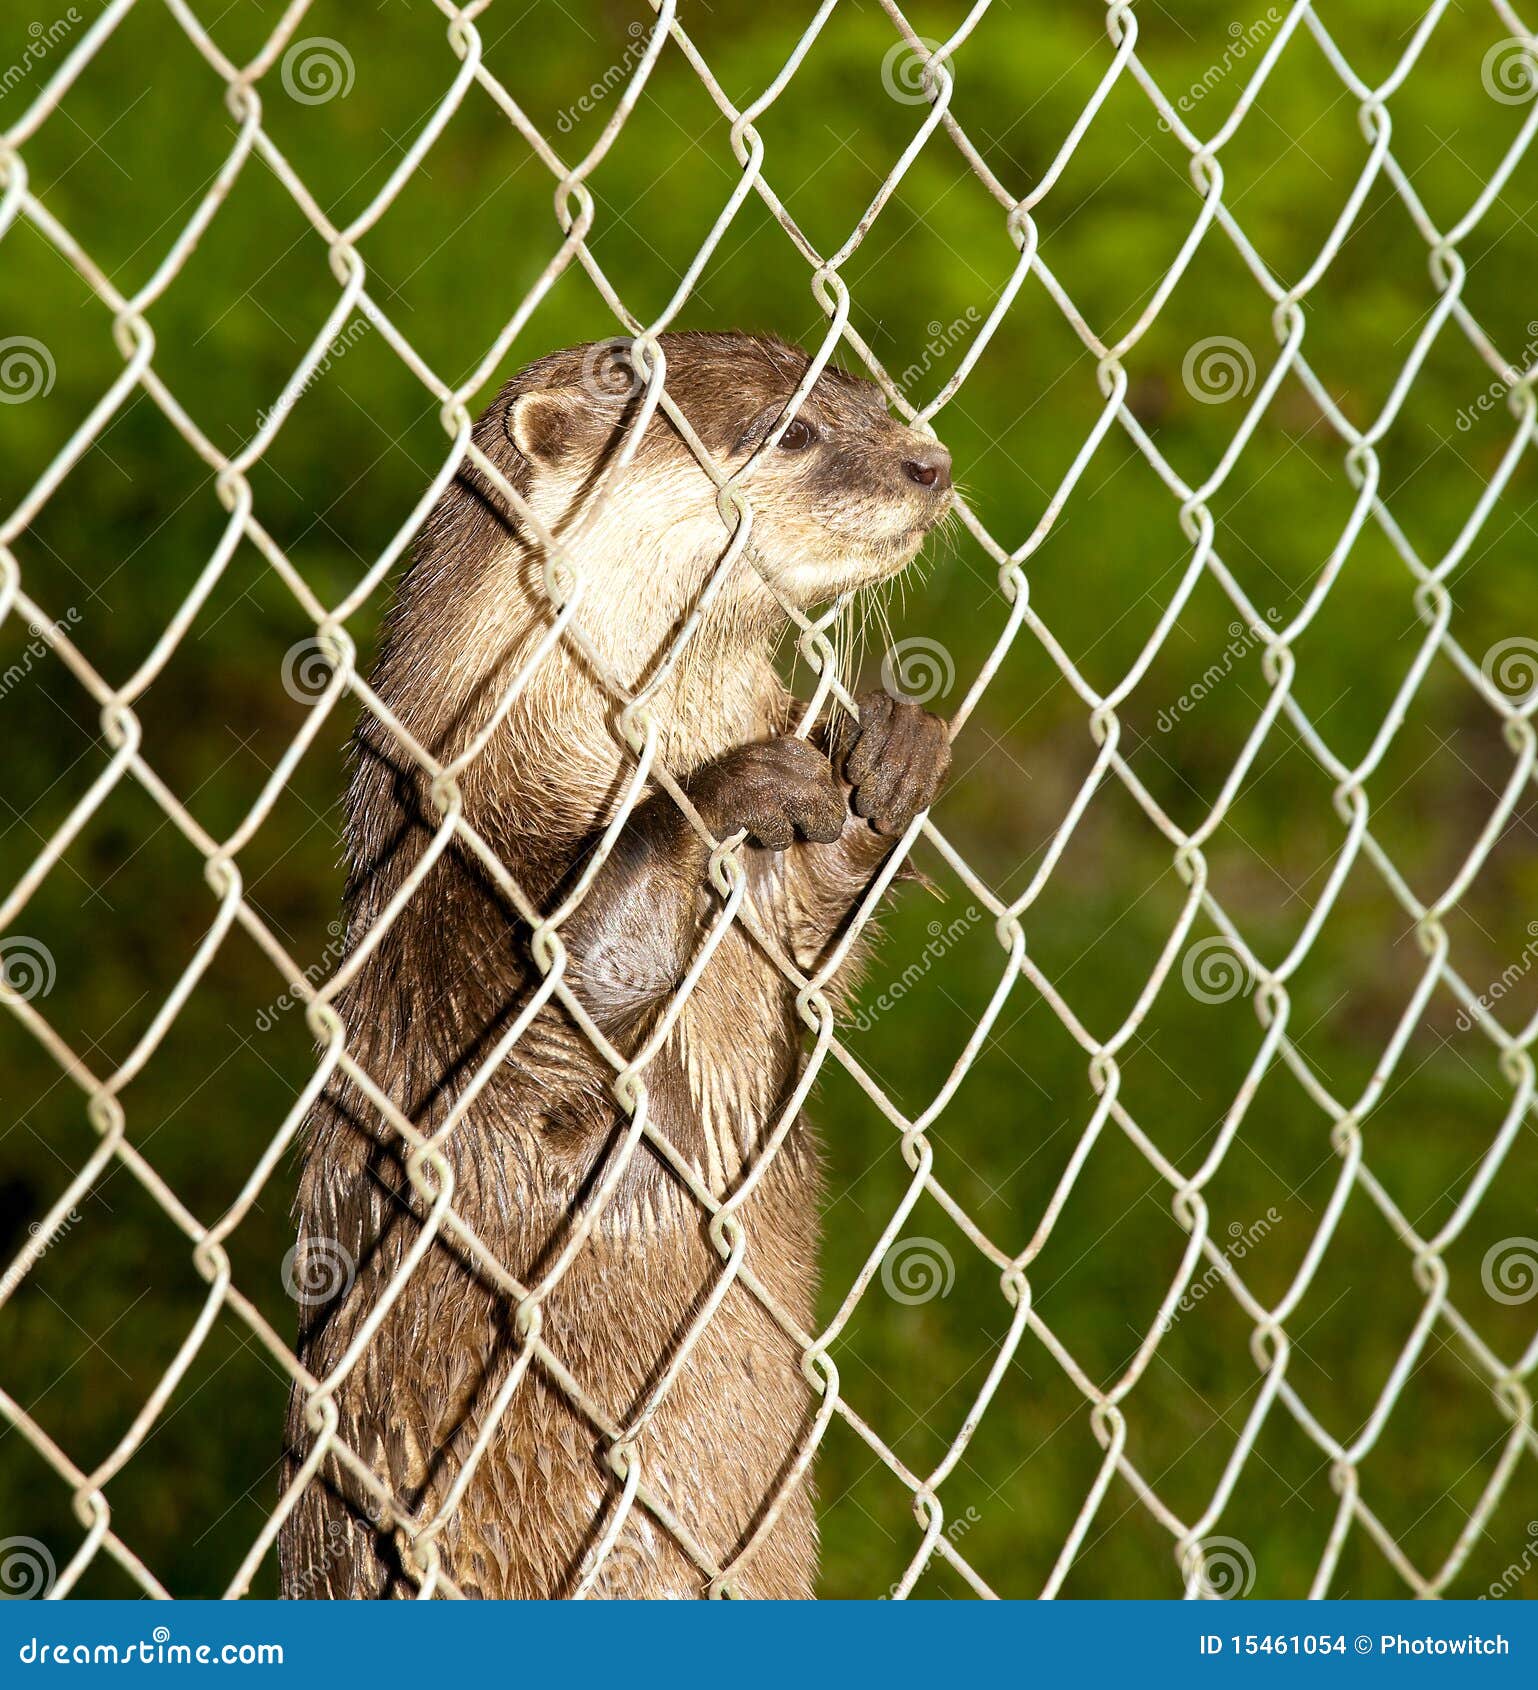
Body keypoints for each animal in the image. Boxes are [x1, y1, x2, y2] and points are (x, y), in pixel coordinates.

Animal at [276, 331, 953, 1599]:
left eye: (874, 397)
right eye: (790, 430)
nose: (927, 463)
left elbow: (806, 951)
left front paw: (883, 759)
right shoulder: (438, 936)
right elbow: (554, 1017)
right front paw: (715, 793)